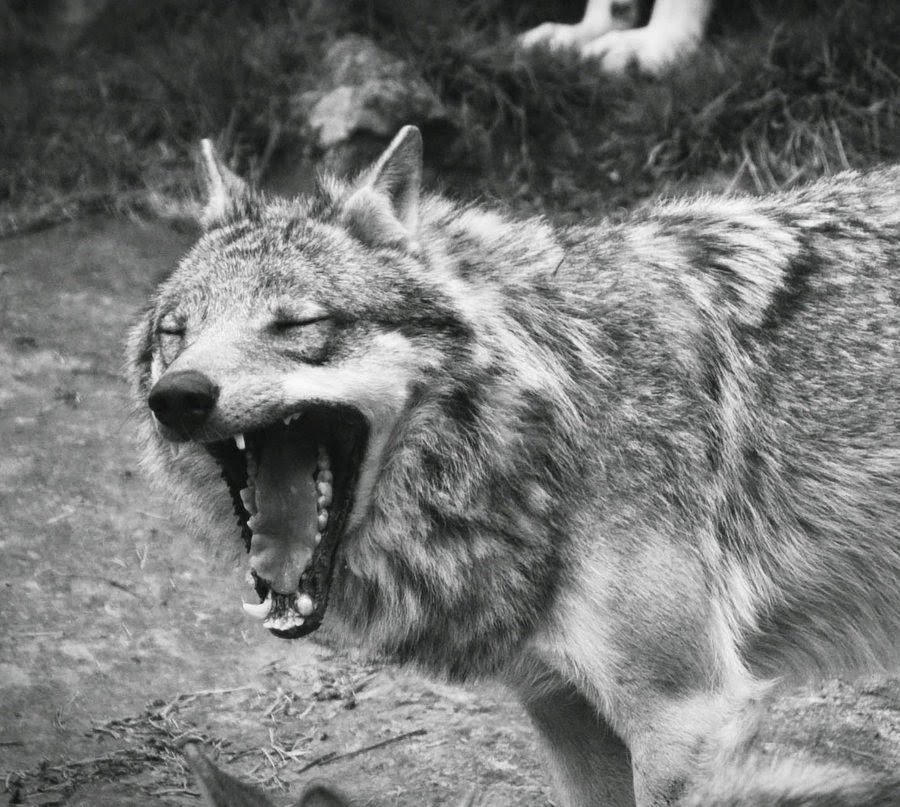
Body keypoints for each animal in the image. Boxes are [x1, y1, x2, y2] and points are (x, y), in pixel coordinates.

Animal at [129, 126, 900, 806]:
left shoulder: (690, 716)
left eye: (298, 325)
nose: (179, 397)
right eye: (176, 332)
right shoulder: (564, 708)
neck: (549, 413)